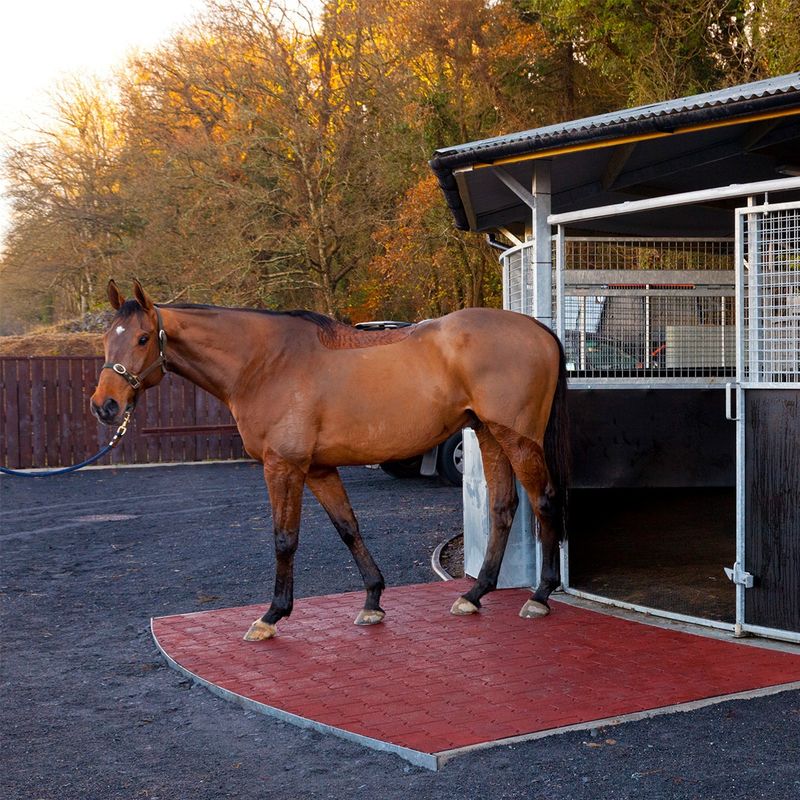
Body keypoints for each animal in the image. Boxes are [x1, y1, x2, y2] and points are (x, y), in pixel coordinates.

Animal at [91, 280, 570, 641]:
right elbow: (347, 528)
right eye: (106, 339)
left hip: (518, 438)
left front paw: (272, 615)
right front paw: (373, 601)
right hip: (488, 434)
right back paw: (475, 595)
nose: (105, 406)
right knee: (504, 508)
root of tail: (536, 328)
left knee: (544, 501)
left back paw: (540, 596)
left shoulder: (283, 466)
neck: (265, 363)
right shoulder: (319, 469)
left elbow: (285, 539)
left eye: (143, 338)